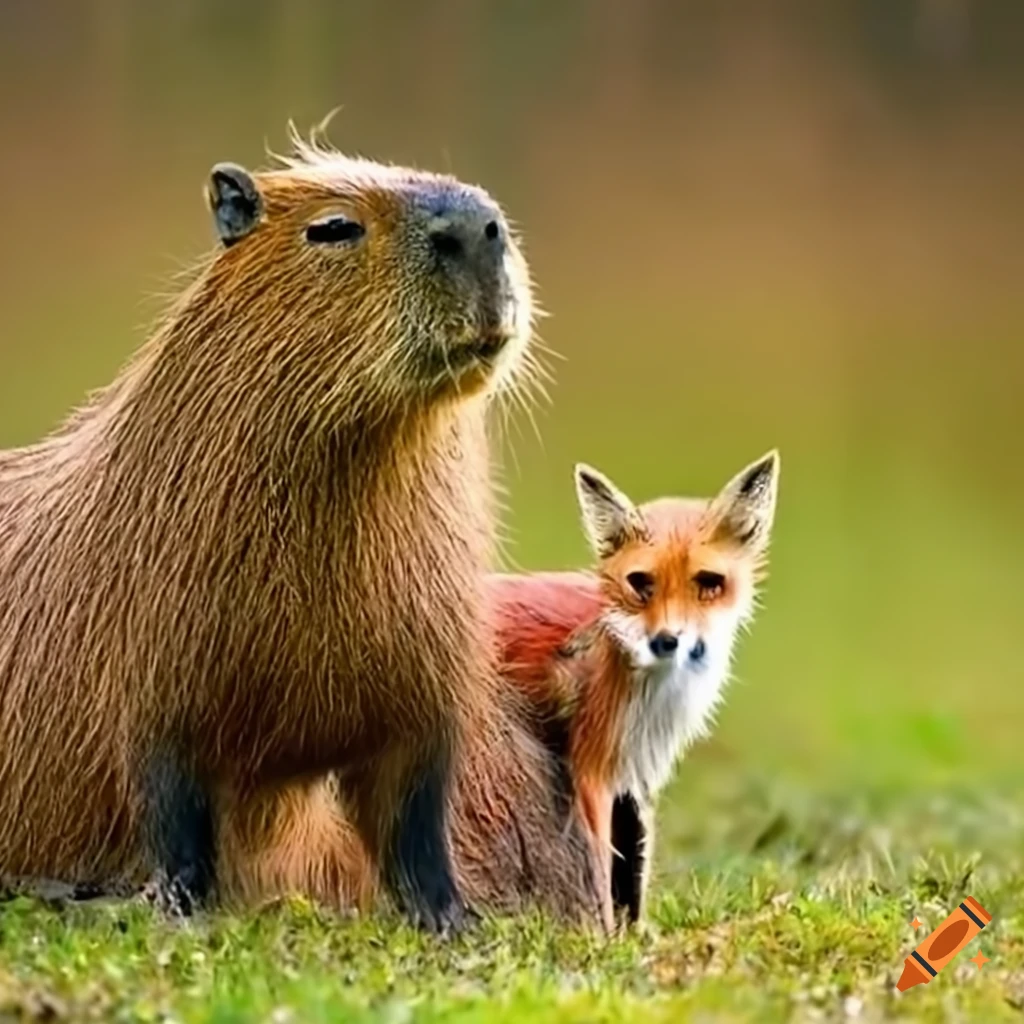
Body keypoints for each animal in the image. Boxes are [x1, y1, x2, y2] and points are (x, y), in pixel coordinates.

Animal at [488, 450, 780, 931]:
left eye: (709, 583)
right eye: (641, 583)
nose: (667, 640)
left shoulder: (639, 771)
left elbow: (634, 872)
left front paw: (637, 936)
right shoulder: (591, 770)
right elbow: (601, 875)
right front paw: (603, 941)